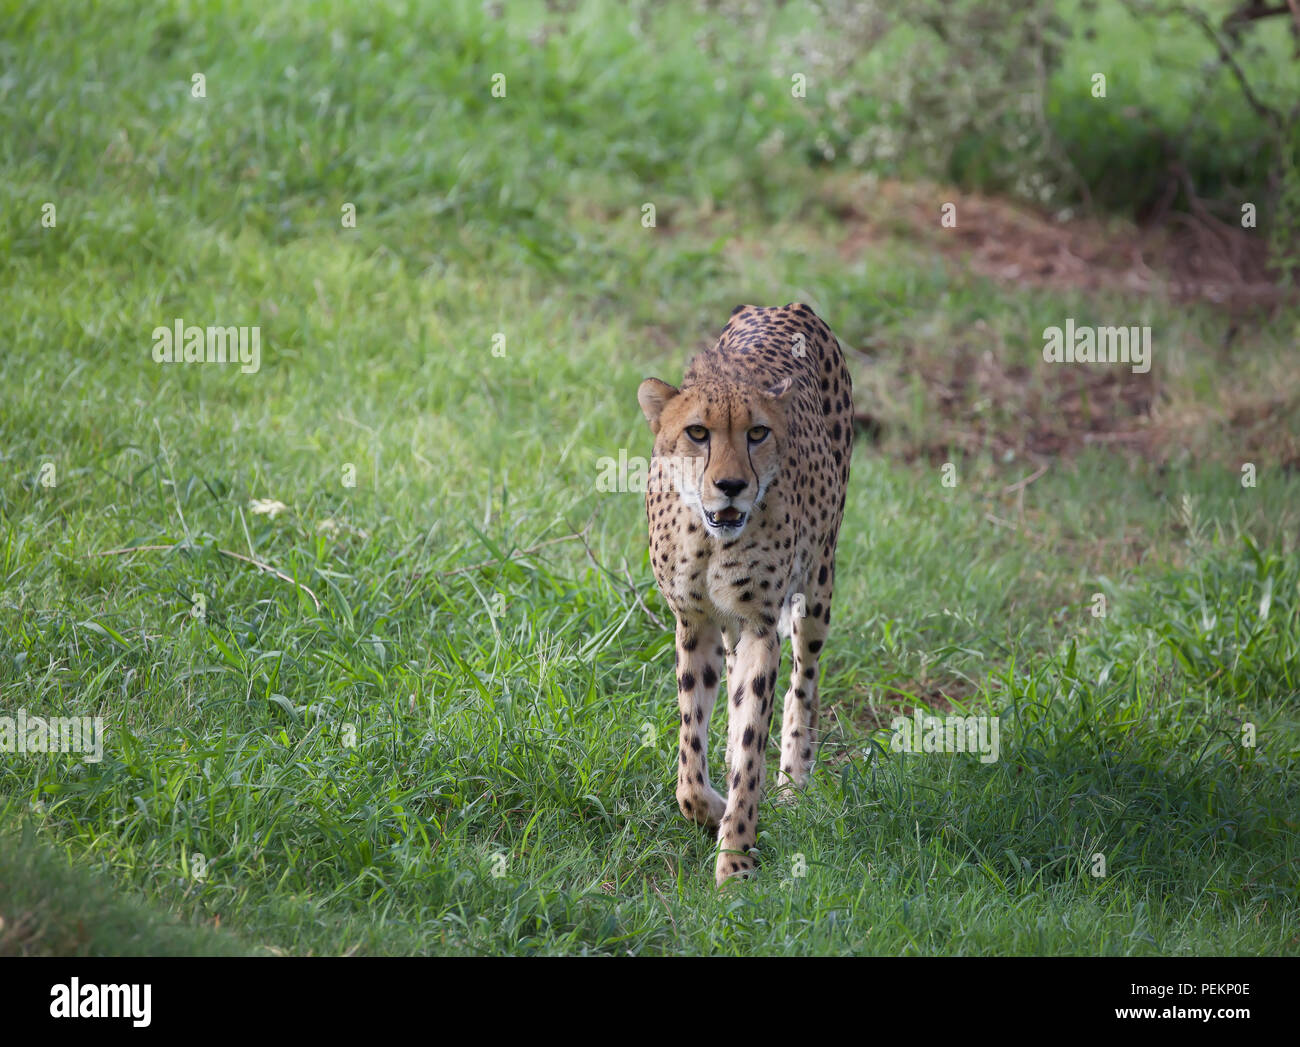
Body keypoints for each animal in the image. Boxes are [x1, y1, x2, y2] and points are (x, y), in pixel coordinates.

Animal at [636, 302, 853, 885]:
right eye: (697, 432)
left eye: (757, 432)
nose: (731, 486)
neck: (711, 538)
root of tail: (786, 305)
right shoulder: (696, 623)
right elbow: (691, 756)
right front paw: (711, 807)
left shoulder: (759, 625)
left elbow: (755, 738)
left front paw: (735, 860)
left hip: (818, 582)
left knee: (803, 682)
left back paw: (794, 783)